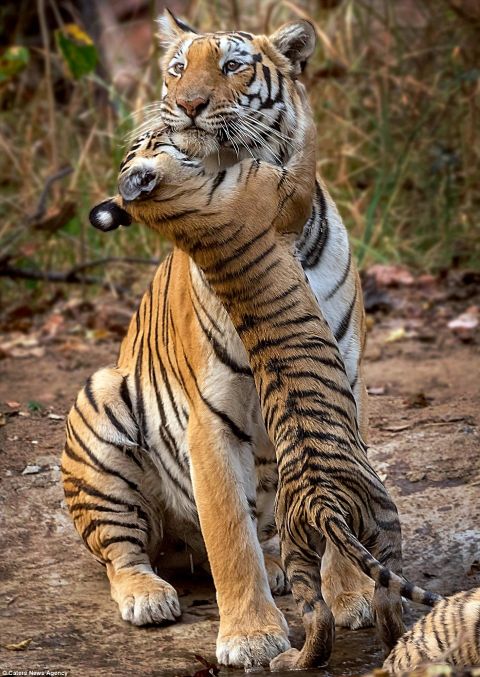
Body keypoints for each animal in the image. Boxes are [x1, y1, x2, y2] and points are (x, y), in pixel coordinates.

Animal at [62, 10, 372, 669]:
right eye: (178, 69)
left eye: (232, 66)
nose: (187, 106)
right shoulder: (212, 416)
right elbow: (230, 532)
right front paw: (251, 638)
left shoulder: (348, 391)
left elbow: (339, 491)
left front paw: (353, 594)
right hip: (100, 407)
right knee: (123, 551)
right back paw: (148, 595)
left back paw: (282, 567)